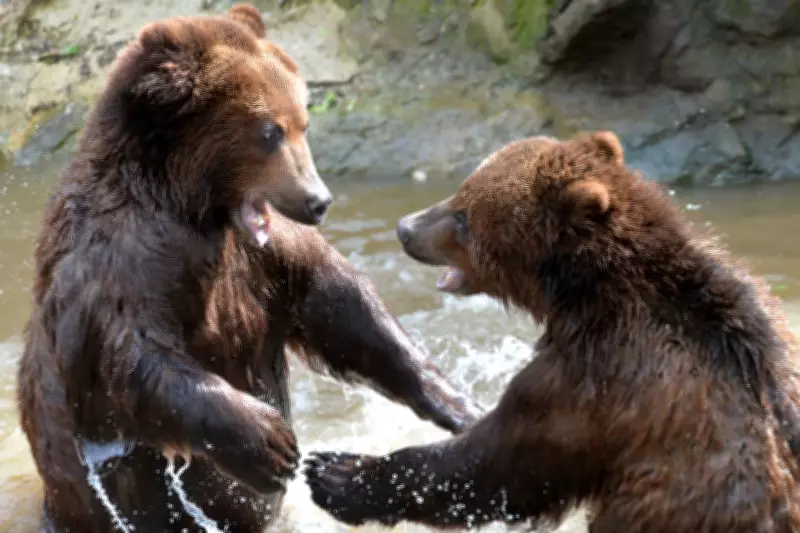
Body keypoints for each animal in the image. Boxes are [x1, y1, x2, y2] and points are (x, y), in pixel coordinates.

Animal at [16, 5, 483, 532]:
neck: (194, 207)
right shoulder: (121, 262)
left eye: (303, 122)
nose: (318, 200)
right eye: (269, 131)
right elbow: (131, 361)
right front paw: (269, 441)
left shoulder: (261, 257)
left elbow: (341, 306)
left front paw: (458, 403)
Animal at [304, 130, 800, 532]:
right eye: (460, 189)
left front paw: (336, 471)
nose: (405, 227)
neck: (585, 292)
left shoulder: (597, 381)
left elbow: (500, 463)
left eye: (464, 215)